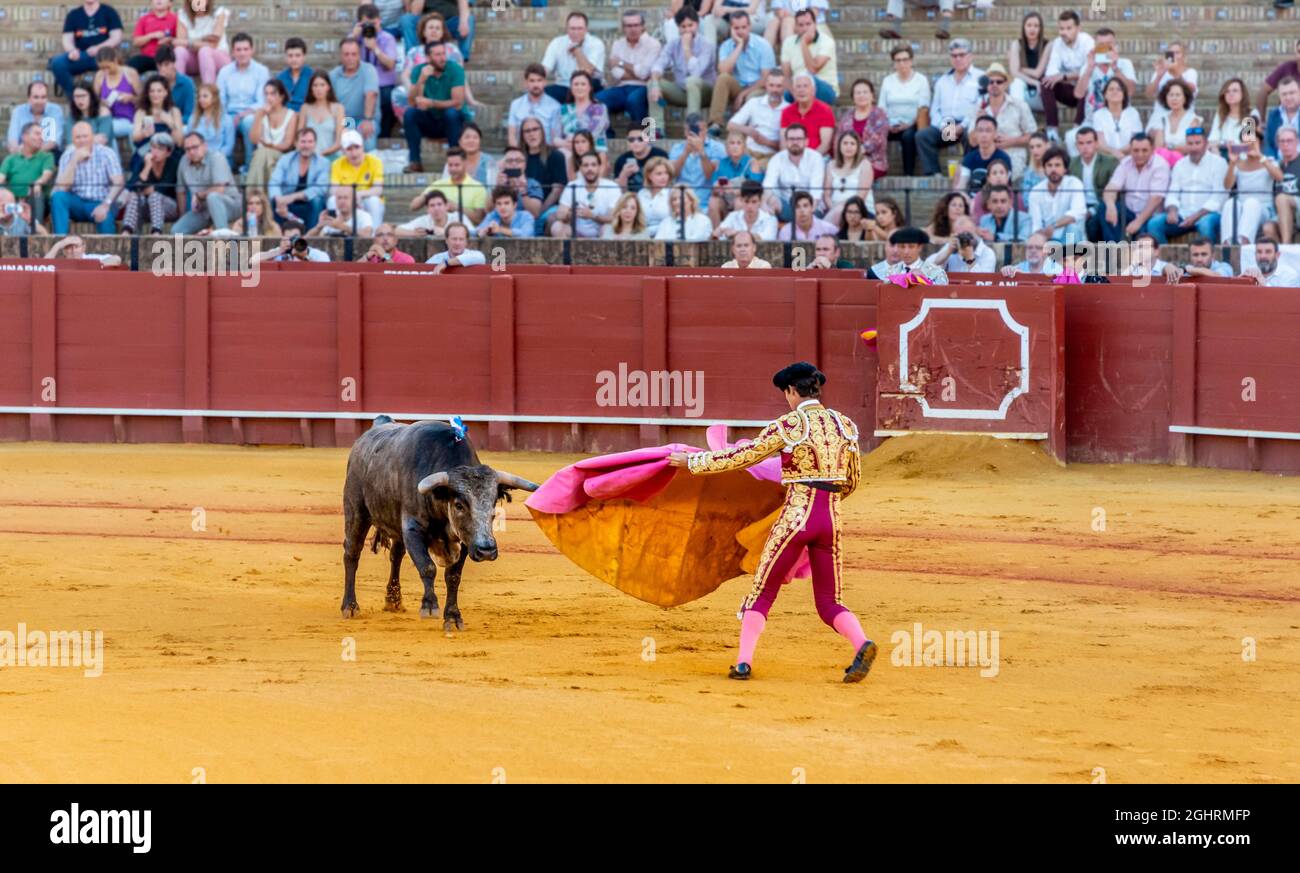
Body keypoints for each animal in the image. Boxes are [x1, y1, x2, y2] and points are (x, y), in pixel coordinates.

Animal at [341, 416, 539, 633]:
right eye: (459, 505)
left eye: (493, 504)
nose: (486, 551)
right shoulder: (413, 529)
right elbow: (427, 566)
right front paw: (429, 606)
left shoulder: (464, 541)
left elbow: (453, 576)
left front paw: (452, 617)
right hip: (356, 512)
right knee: (352, 553)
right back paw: (350, 606)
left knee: (396, 555)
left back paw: (393, 601)